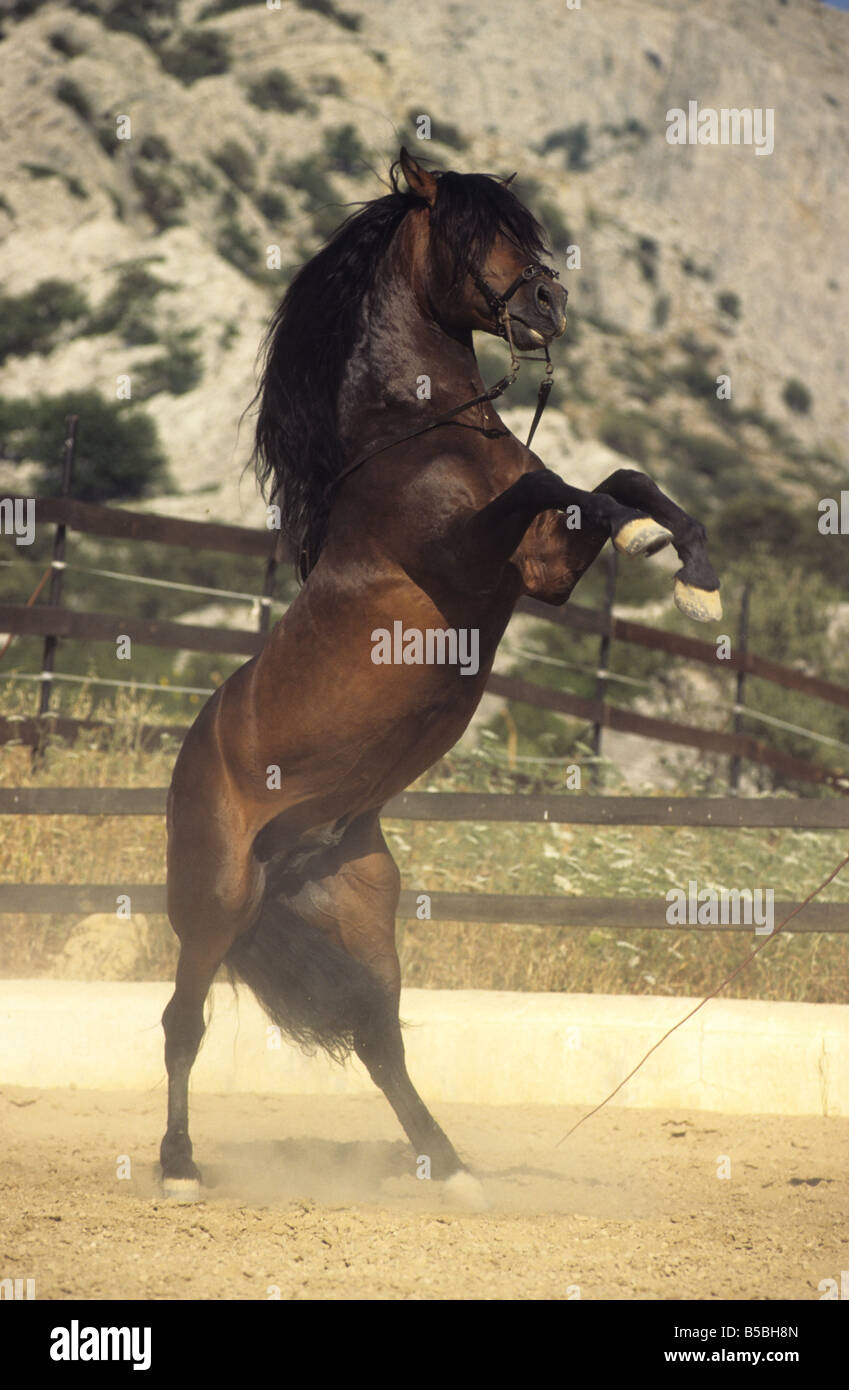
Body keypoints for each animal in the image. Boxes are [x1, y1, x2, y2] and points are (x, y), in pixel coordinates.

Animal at [159, 148, 721, 1205]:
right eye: (472, 234)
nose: (547, 303)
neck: (424, 432)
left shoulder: (540, 568)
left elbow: (618, 479)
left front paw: (697, 577)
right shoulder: (481, 556)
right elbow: (562, 486)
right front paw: (650, 544)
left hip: (361, 909)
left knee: (380, 1042)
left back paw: (451, 1168)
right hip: (214, 900)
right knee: (183, 1024)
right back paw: (177, 1169)